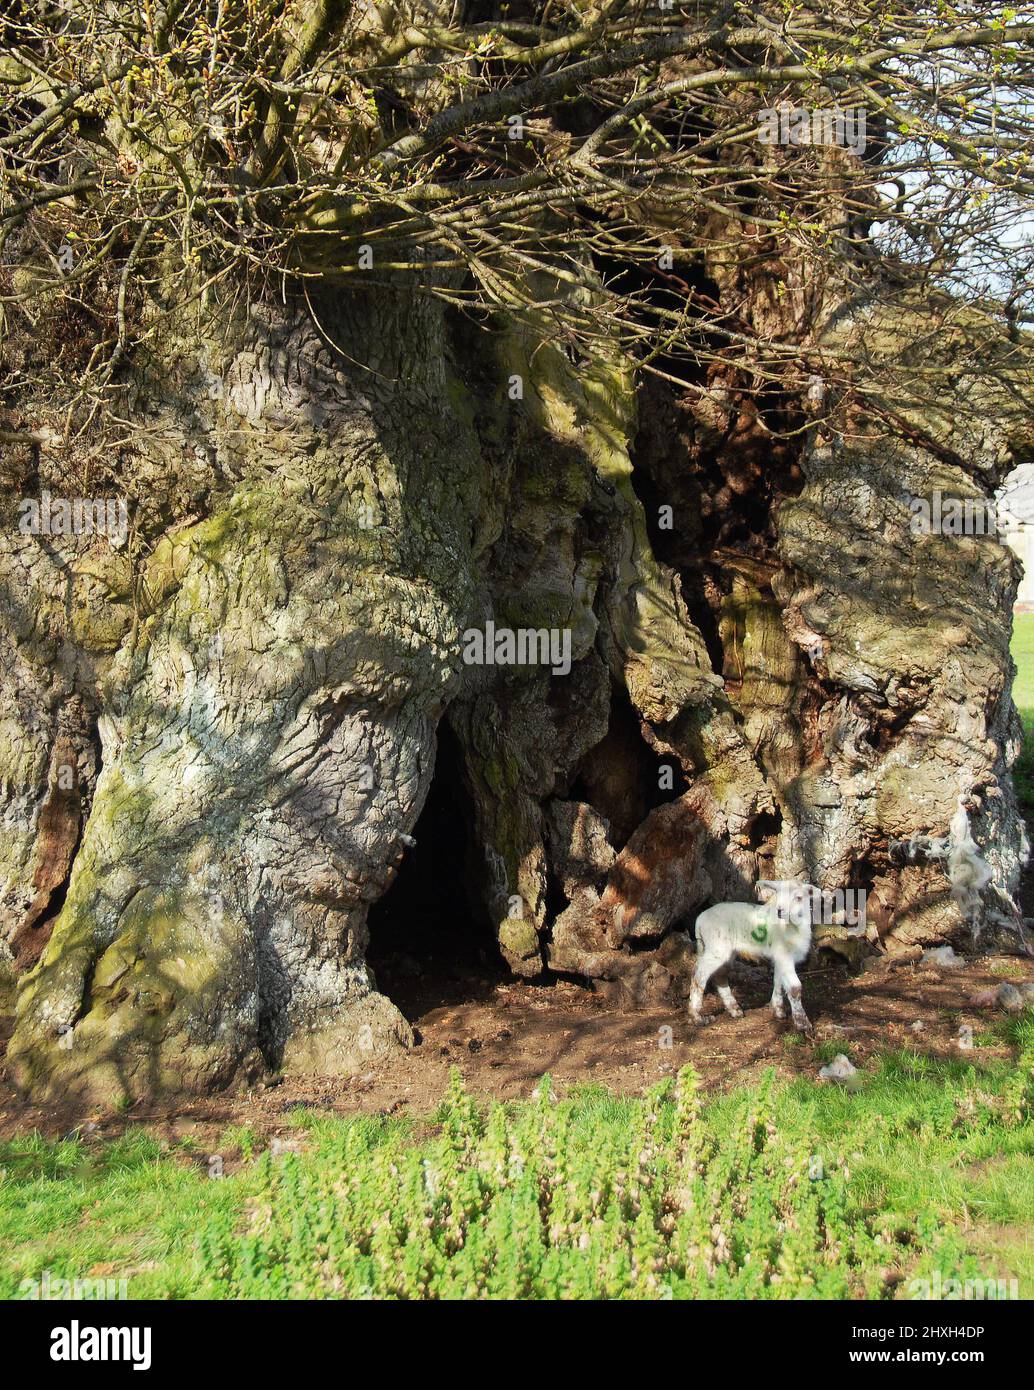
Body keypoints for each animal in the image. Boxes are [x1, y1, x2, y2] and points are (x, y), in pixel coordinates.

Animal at [689, 880, 820, 1035]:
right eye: (778, 895)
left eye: (799, 897)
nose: (779, 910)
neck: (793, 927)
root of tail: (699, 920)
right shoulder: (784, 955)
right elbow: (795, 987)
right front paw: (803, 1024)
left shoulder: (779, 957)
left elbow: (778, 982)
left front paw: (778, 1010)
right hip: (717, 948)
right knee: (699, 977)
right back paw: (697, 1017)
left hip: (721, 950)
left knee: (719, 975)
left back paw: (734, 1010)